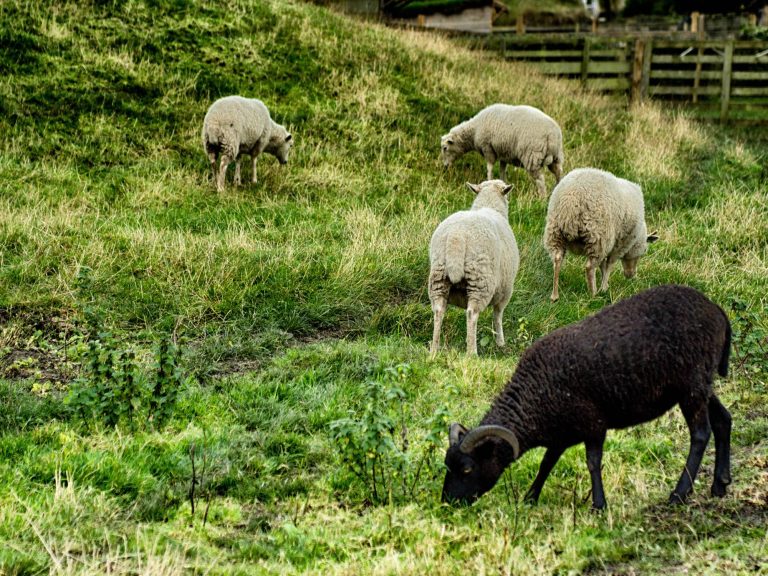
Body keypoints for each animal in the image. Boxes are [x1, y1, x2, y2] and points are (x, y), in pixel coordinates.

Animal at [428, 180, 520, 356]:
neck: (489, 205)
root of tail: (456, 236)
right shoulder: (505, 291)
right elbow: (498, 315)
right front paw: (500, 342)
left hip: (438, 276)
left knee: (438, 310)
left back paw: (434, 349)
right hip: (480, 279)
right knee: (472, 313)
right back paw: (472, 352)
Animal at [442, 284, 732, 510]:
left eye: (467, 469)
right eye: (447, 464)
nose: (447, 503)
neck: (534, 397)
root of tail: (716, 310)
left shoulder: (593, 424)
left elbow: (592, 463)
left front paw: (599, 505)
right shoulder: (561, 431)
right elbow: (547, 463)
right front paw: (530, 498)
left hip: (692, 385)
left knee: (700, 434)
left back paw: (679, 494)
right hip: (700, 384)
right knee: (723, 419)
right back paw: (720, 484)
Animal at [543, 167, 658, 302]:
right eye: (644, 251)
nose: (631, 275)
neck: (637, 237)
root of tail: (571, 201)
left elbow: (603, 265)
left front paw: (604, 285)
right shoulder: (619, 245)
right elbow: (609, 265)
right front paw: (604, 288)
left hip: (555, 231)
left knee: (557, 259)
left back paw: (555, 296)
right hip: (598, 235)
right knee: (589, 267)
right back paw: (593, 294)